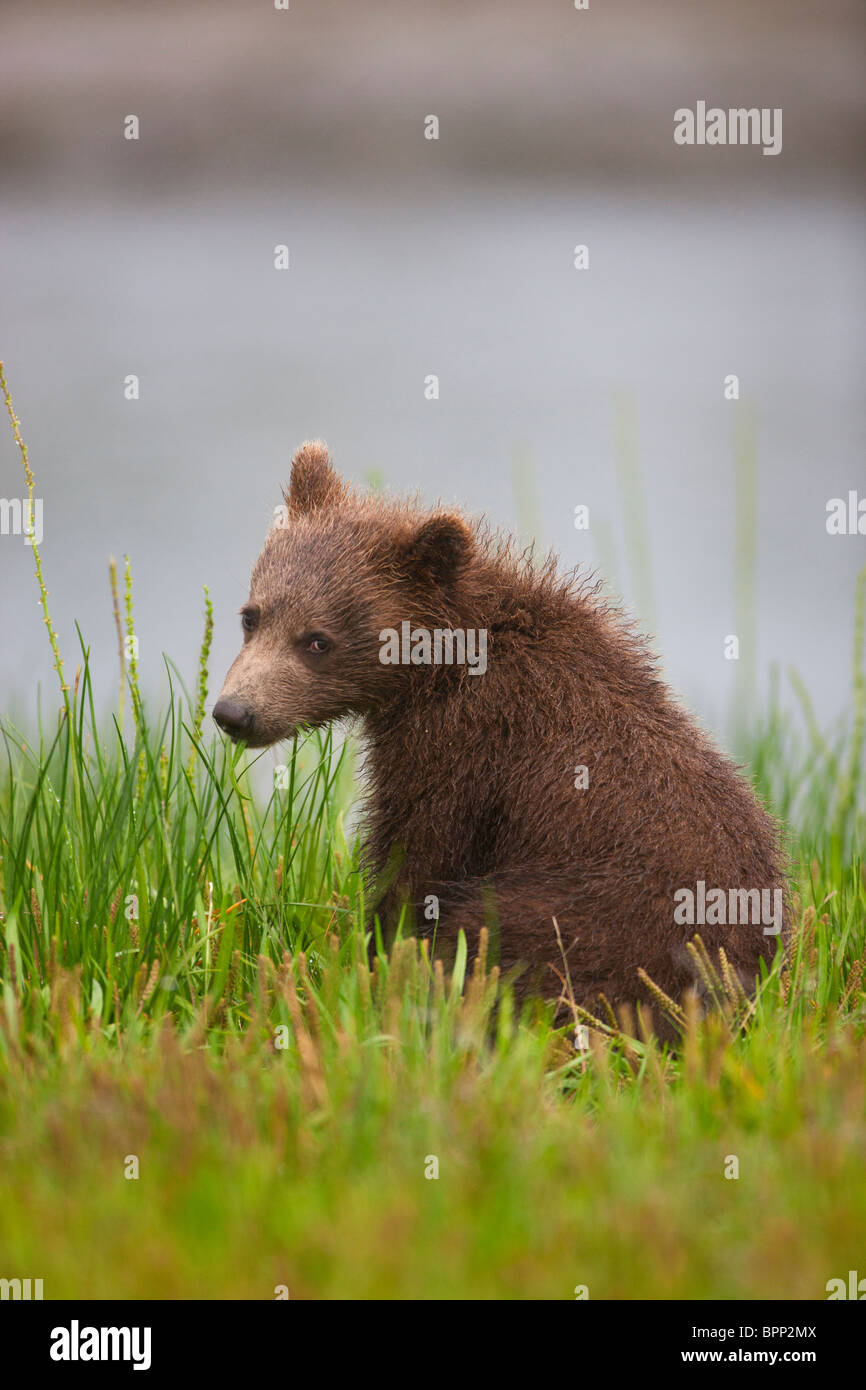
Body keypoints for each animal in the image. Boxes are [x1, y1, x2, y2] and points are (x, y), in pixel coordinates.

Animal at [213, 441, 787, 1034]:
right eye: (251, 615)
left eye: (317, 640)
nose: (234, 712)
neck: (440, 667)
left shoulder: (467, 748)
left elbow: (418, 857)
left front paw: (373, 956)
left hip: (600, 916)